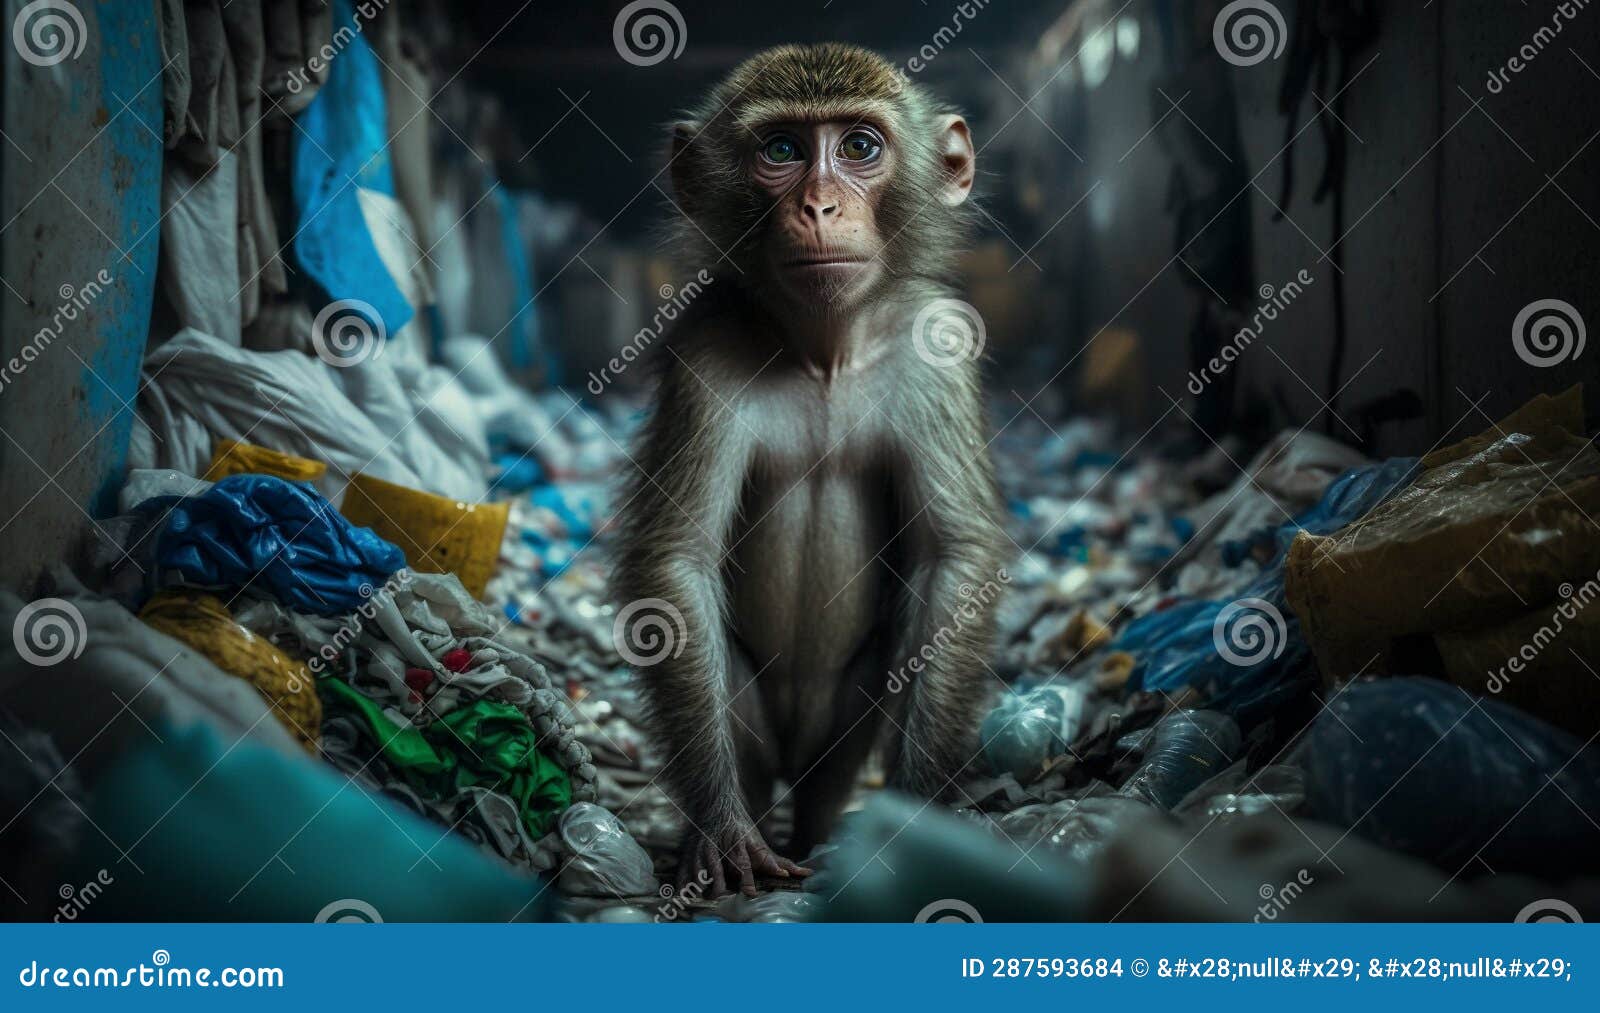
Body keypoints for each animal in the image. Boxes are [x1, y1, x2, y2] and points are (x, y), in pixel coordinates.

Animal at [611, 43, 1008, 898]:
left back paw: (826, 829)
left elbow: (953, 556)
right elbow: (676, 563)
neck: (825, 349)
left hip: (842, 734)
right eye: (783, 150)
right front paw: (722, 829)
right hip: (760, 739)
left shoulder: (939, 344)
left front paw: (919, 824)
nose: (821, 206)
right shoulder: (706, 350)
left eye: (859, 146)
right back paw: (750, 821)